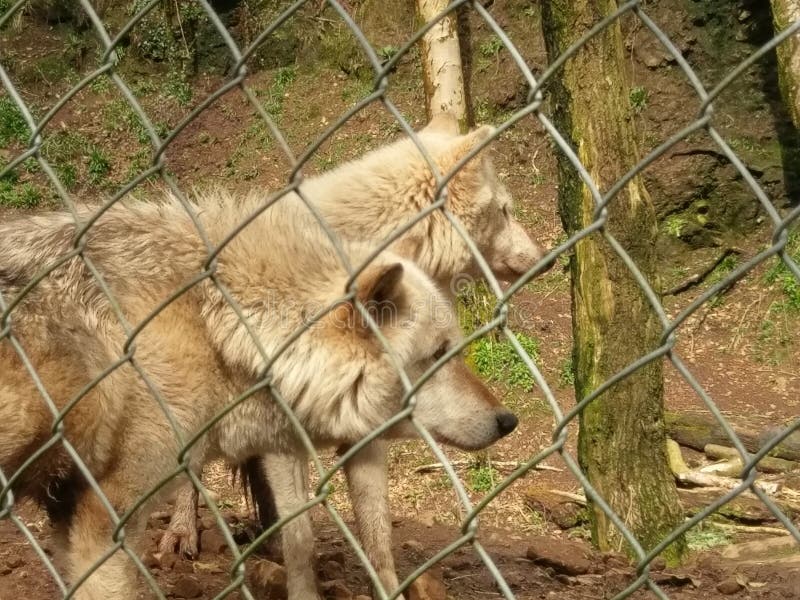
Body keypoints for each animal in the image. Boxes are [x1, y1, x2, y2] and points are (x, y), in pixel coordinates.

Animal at [0, 191, 518, 600]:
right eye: (439, 353)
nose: (508, 420)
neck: (216, 323)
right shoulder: (103, 520)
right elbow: (301, 537)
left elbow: (364, 536)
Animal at [160, 112, 550, 597]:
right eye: (506, 211)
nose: (549, 258)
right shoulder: (286, 441)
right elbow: (302, 537)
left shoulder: (365, 436)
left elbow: (377, 530)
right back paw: (182, 532)